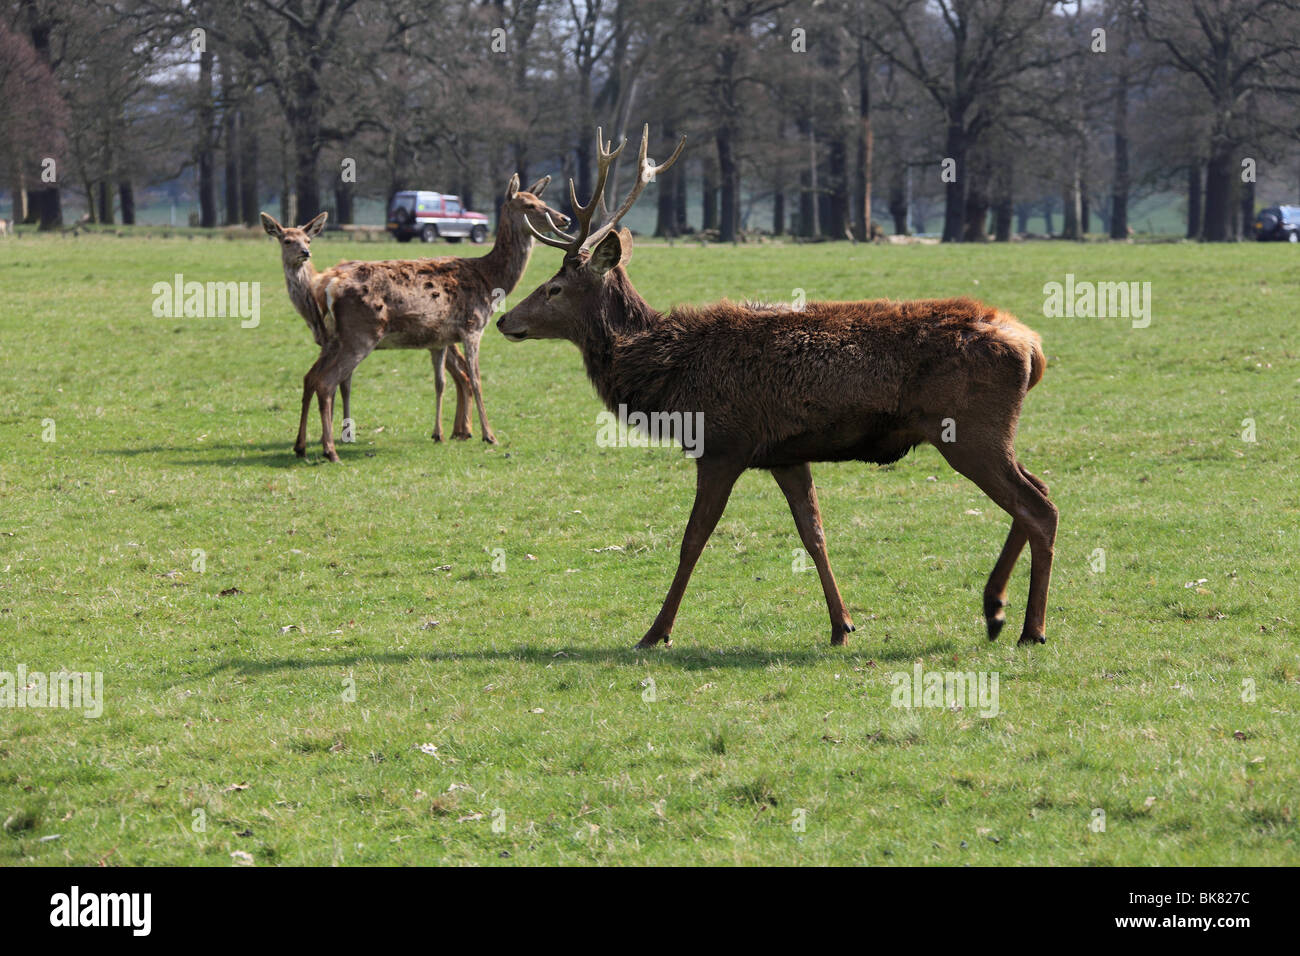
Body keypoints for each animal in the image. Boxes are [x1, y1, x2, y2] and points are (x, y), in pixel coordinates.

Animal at [261, 173, 569, 460]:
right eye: (529, 205)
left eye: (541, 200)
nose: (564, 218)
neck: (490, 280)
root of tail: (330, 286)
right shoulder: (473, 327)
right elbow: (478, 380)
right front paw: (490, 435)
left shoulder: (441, 338)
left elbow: (441, 382)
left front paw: (439, 434)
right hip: (360, 335)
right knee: (327, 382)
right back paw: (329, 450)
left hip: (334, 338)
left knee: (311, 377)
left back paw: (301, 446)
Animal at [497, 126, 1058, 649]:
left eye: (554, 287)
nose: (504, 320)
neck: (669, 377)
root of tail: (1033, 349)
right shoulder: (786, 454)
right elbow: (814, 534)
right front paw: (842, 624)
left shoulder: (723, 444)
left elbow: (692, 539)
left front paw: (655, 632)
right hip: (989, 434)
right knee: (1039, 491)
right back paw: (995, 609)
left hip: (968, 431)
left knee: (1039, 507)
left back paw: (1030, 627)